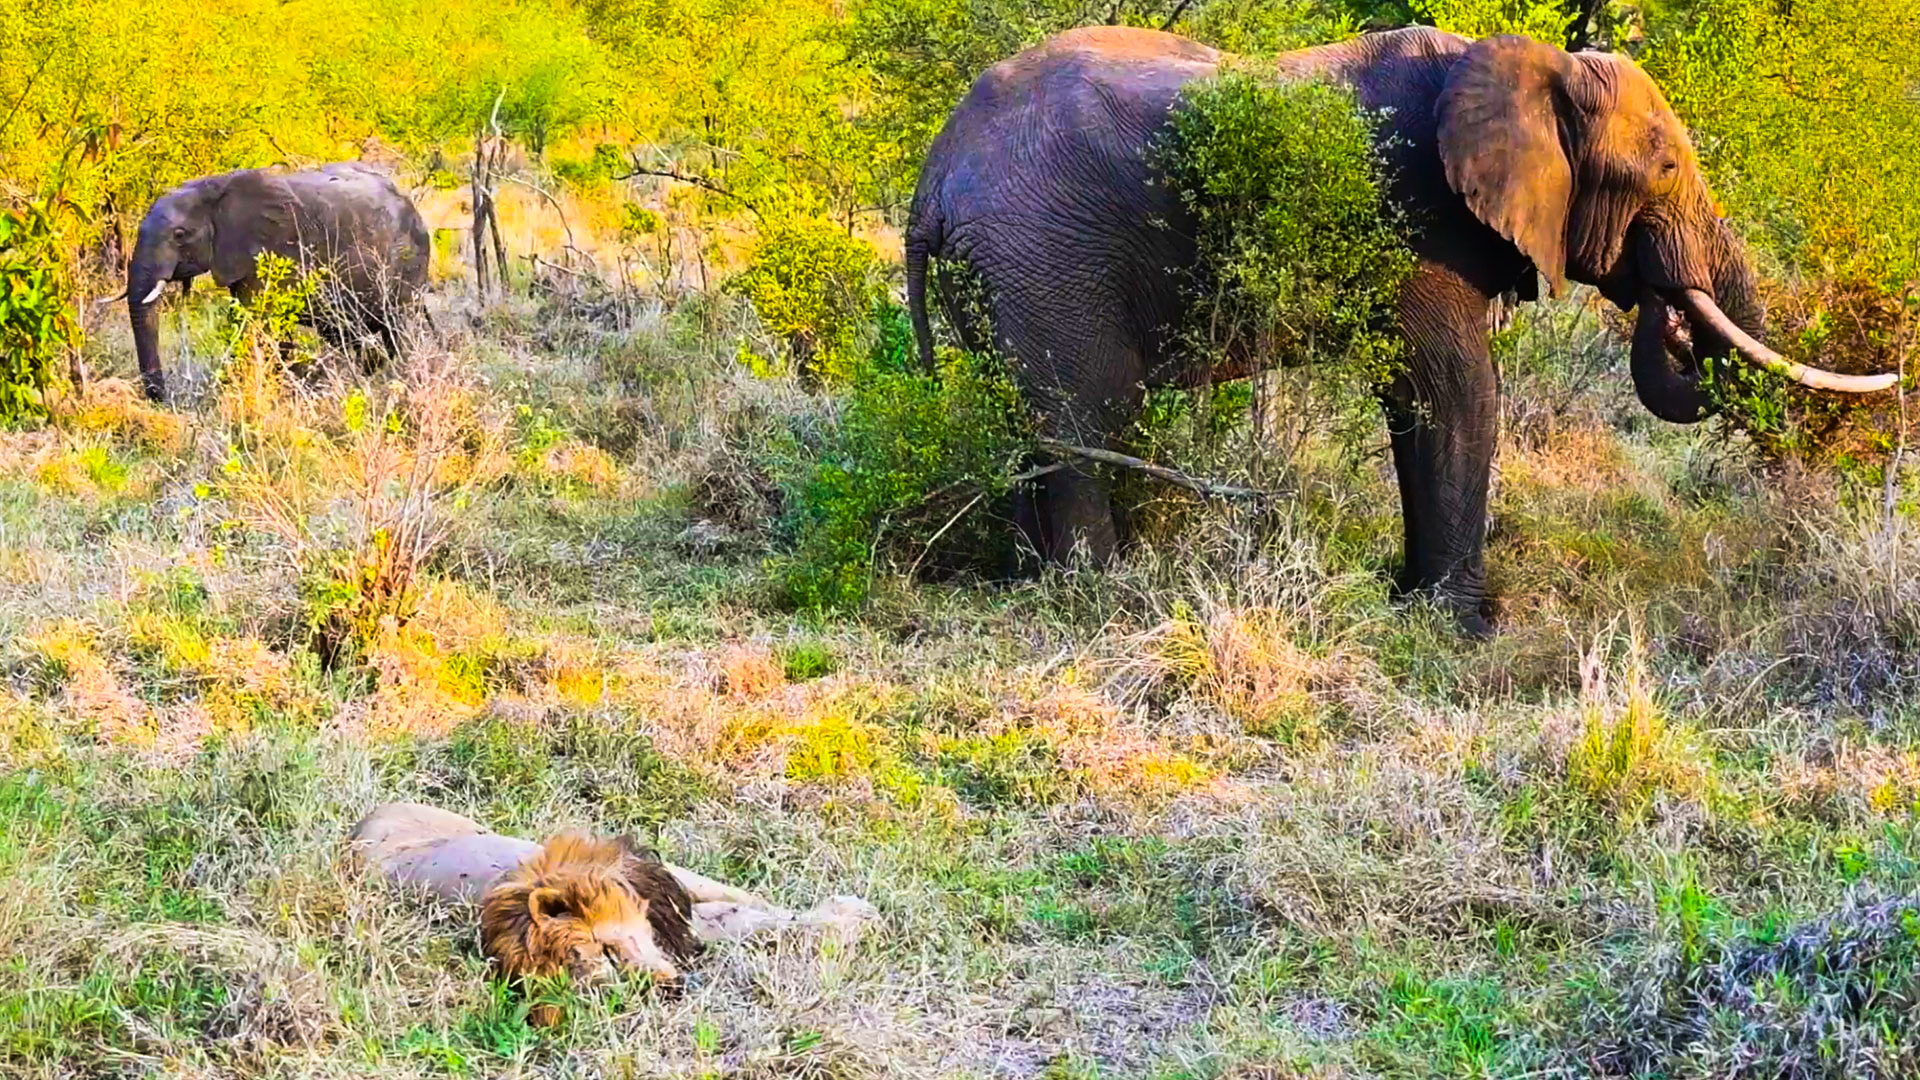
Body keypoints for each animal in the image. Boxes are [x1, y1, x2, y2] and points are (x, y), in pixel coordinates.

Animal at [128, 161, 432, 402]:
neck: (215, 187)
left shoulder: (275, 250)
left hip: (409, 263)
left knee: (398, 327)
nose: (162, 399)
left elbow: (261, 323)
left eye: (180, 235)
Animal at [349, 802, 875, 1024]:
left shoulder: (664, 878)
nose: (665, 992)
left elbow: (737, 896)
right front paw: (848, 918)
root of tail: (355, 831)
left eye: (606, 950)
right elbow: (742, 920)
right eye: (604, 982)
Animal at [903, 26, 1894, 635]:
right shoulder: (1419, 217)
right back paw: (1099, 596)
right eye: (1664, 170)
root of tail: (935, 172)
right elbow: (1457, 393)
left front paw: (1409, 601)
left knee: (1024, 427)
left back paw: (1031, 582)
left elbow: (1418, 401)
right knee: (1080, 421)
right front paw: (1460, 627)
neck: (1529, 66)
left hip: (1003, 277)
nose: (1672, 309)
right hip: (1042, 257)